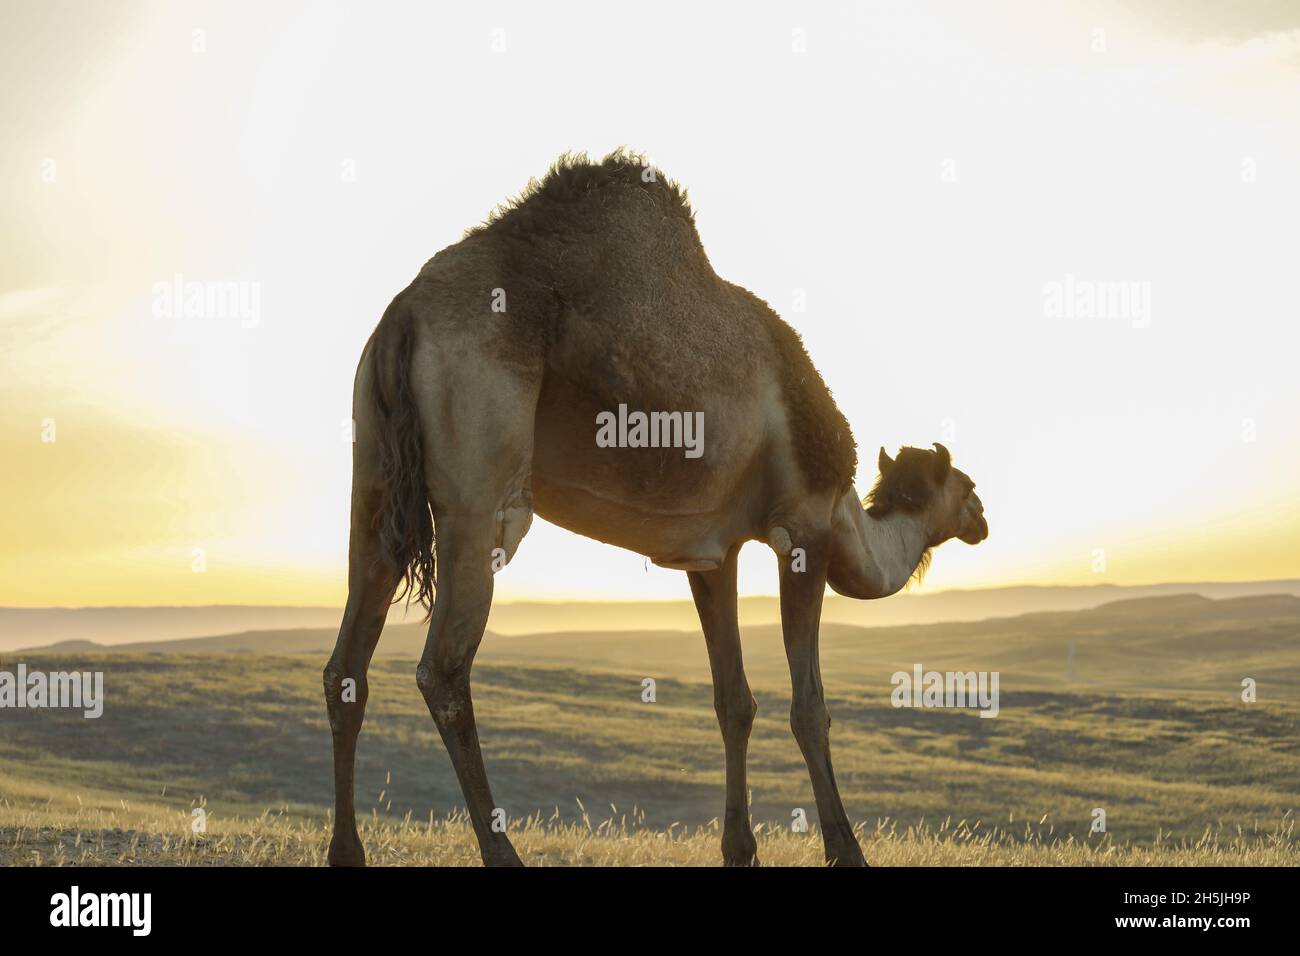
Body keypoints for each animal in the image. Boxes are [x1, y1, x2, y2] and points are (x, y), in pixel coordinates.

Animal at [323, 151, 988, 868]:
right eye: (966, 487)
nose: (984, 519)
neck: (846, 518)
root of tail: (404, 315)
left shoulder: (712, 554)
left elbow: (734, 701)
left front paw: (740, 848)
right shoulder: (803, 527)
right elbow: (809, 705)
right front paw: (846, 849)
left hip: (372, 473)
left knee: (346, 665)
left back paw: (347, 851)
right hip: (479, 479)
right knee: (444, 669)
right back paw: (503, 853)